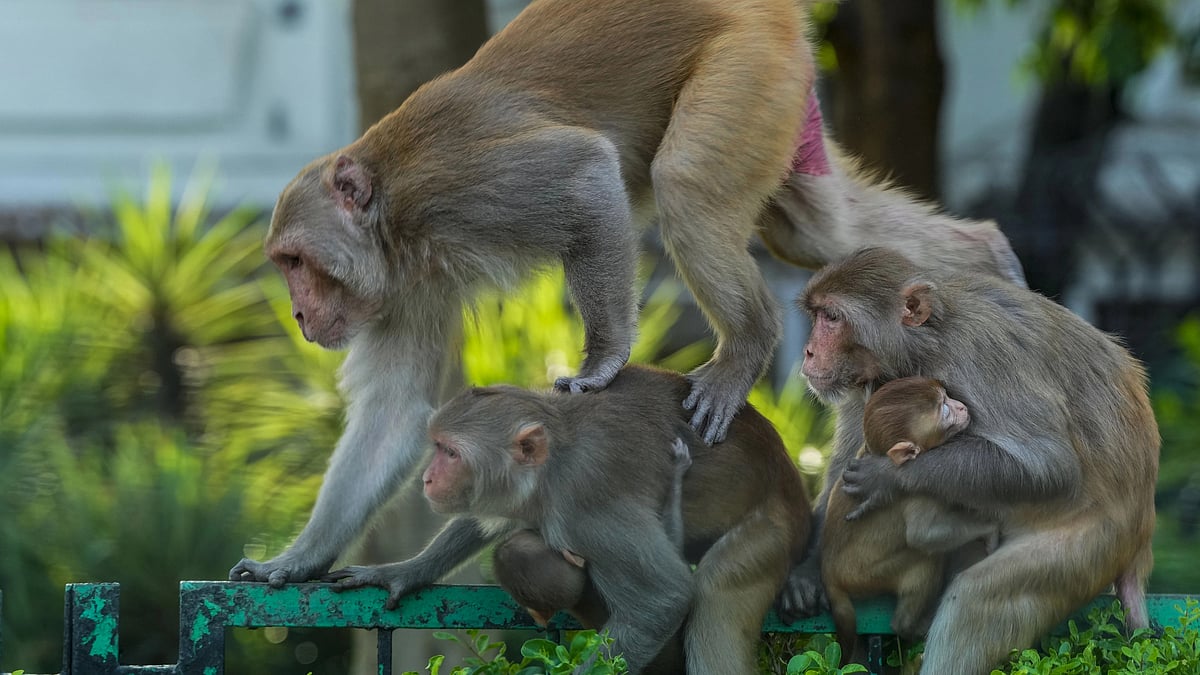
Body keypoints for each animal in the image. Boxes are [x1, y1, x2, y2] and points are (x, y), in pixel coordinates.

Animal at [230, 0, 1026, 592]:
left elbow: (585, 174)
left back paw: (747, 346)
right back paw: (989, 257)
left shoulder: (458, 191)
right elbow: (397, 409)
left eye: (296, 261)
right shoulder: (405, 282)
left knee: (687, 181)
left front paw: (604, 362)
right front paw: (299, 558)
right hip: (784, 91)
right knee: (815, 227)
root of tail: (768, 13)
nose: (298, 312)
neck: (391, 212)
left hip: (745, 66)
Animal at [323, 365, 811, 675]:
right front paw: (403, 572)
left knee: (715, 597)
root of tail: (787, 475)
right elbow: (490, 519)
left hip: (770, 531)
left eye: (451, 452)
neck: (552, 463)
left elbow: (666, 596)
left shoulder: (585, 505)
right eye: (437, 445)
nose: (426, 477)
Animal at [821, 376, 999, 665]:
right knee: (924, 557)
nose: (961, 407)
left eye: (946, 396)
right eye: (944, 411)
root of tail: (829, 576)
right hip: (867, 576)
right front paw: (989, 528)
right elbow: (923, 534)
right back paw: (908, 626)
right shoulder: (917, 491)